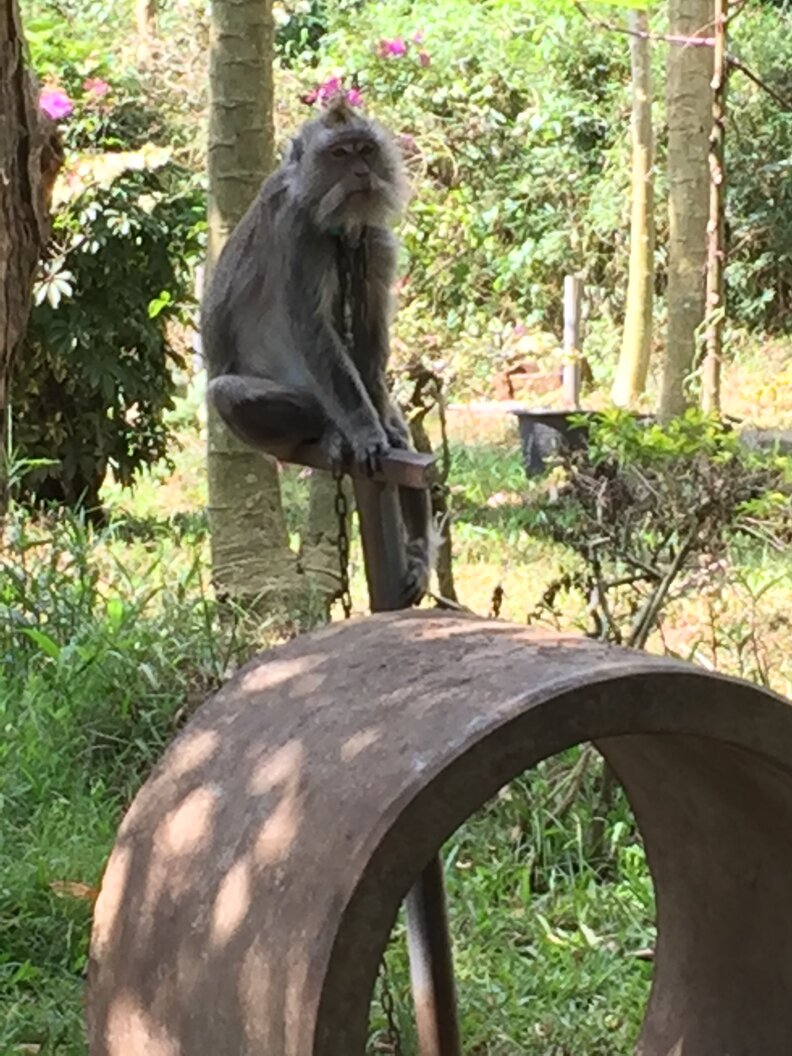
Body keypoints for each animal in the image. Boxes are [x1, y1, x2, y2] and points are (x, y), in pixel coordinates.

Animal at [201, 94, 435, 607]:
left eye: (365, 150)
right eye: (339, 155)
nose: (362, 173)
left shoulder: (373, 237)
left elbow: (367, 337)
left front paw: (383, 423)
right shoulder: (297, 234)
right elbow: (313, 331)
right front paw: (365, 431)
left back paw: (417, 551)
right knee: (228, 392)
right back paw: (332, 432)